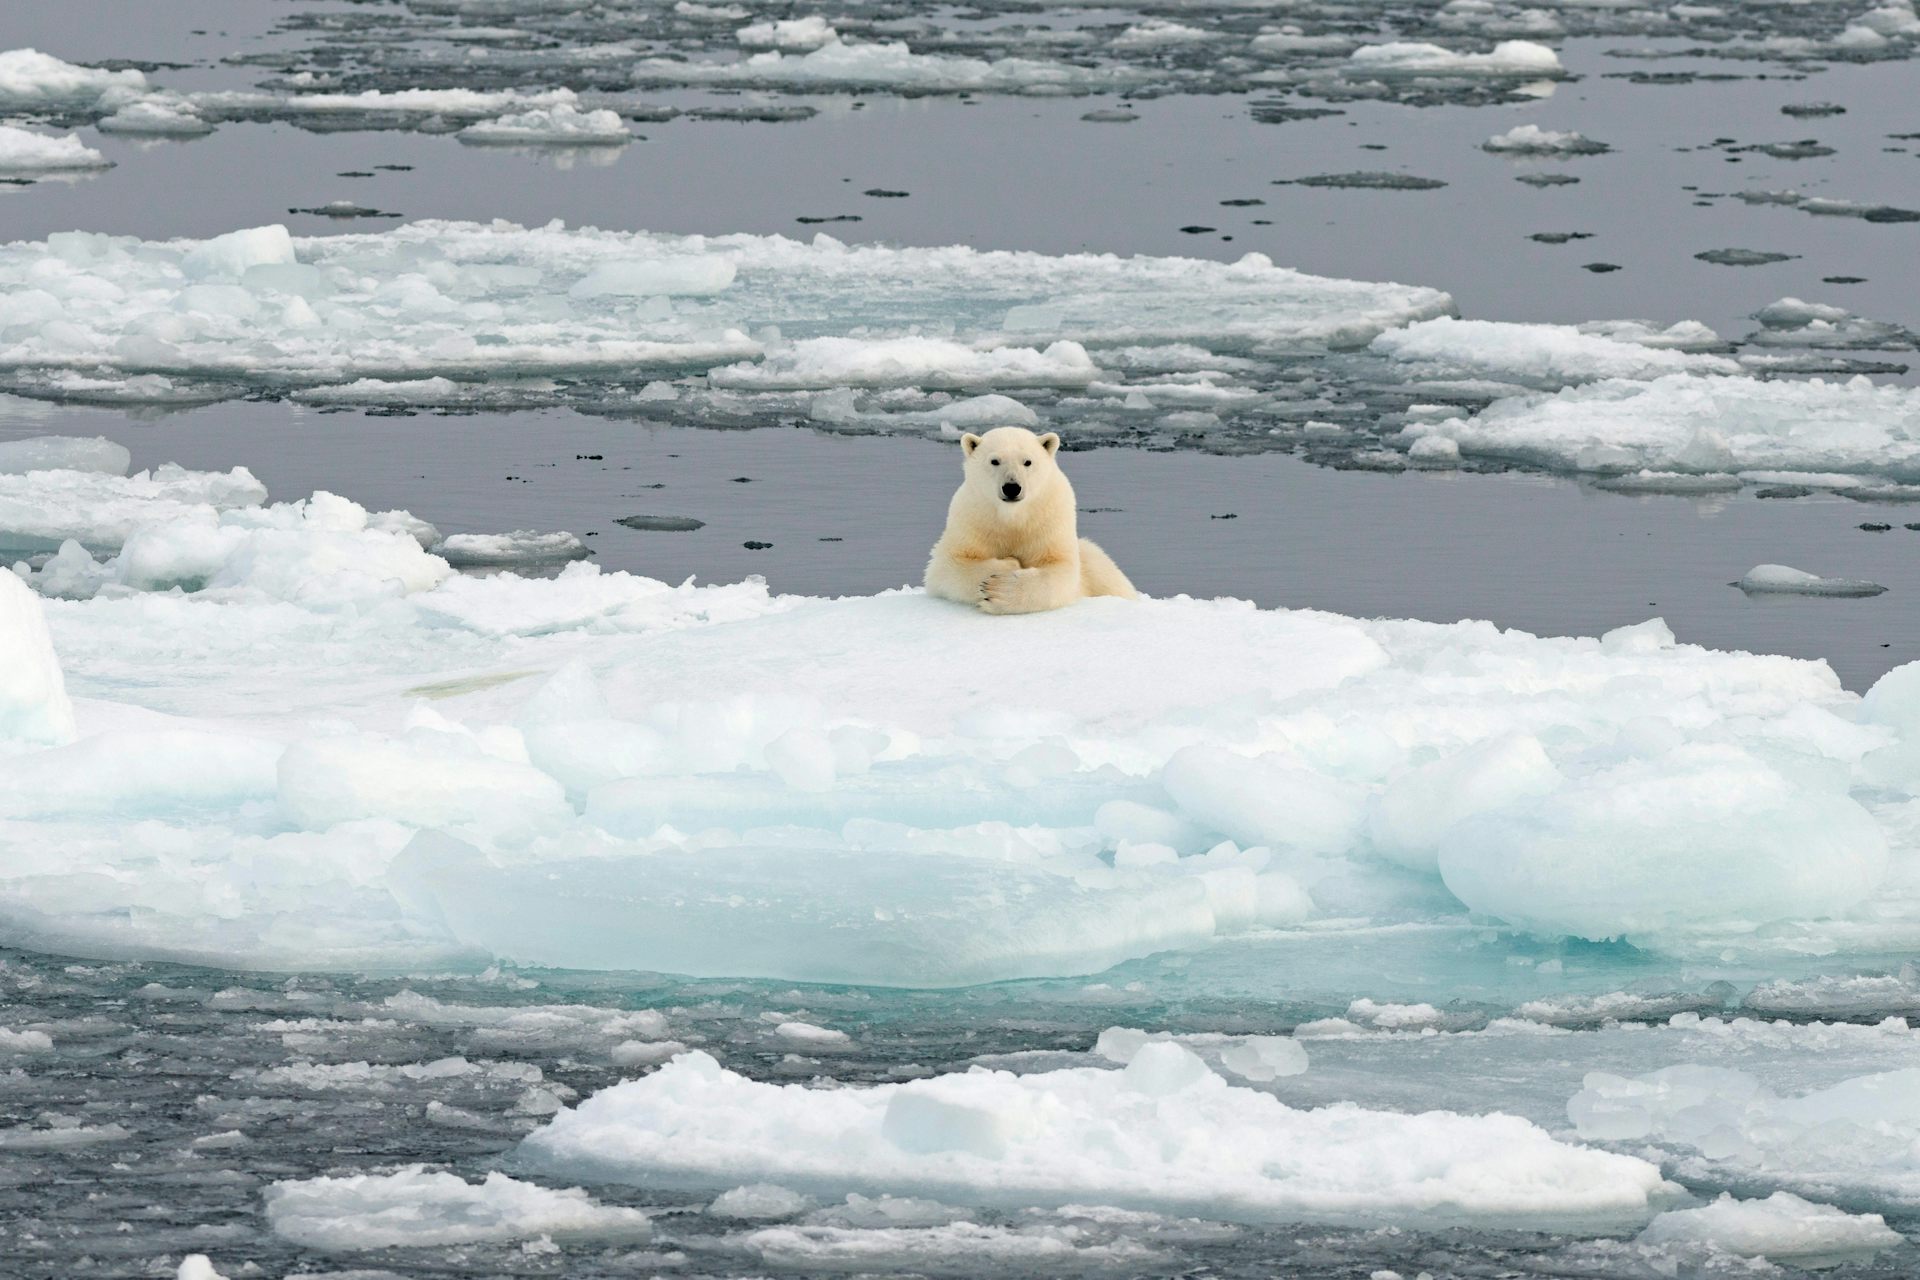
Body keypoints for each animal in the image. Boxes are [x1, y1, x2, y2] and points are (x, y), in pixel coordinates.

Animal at [924, 426, 1138, 614]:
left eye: (1027, 462)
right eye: (994, 461)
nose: (1011, 487)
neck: (1013, 515)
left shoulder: (1050, 520)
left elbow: (1061, 569)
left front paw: (999, 590)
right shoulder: (972, 519)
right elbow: (948, 564)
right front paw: (1009, 563)